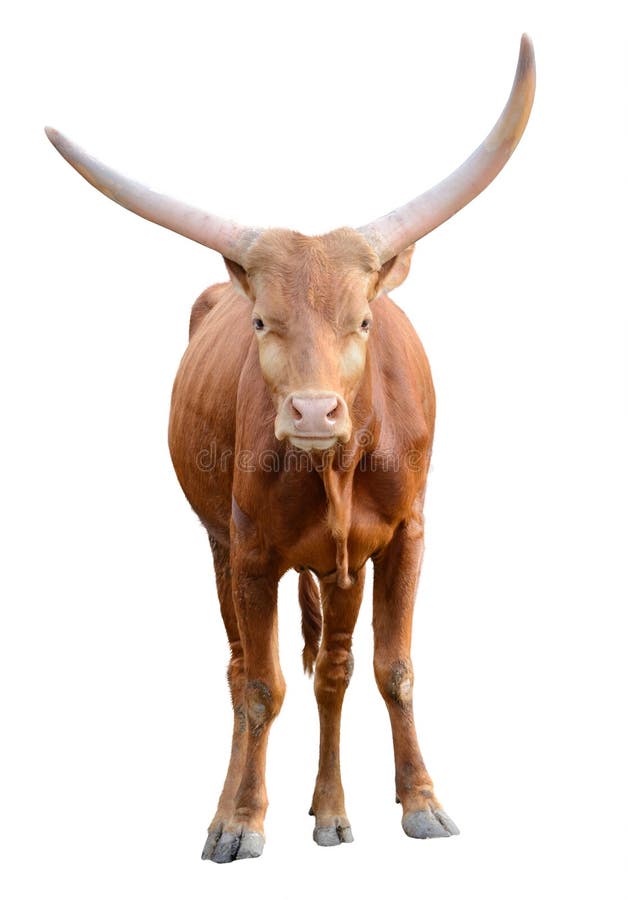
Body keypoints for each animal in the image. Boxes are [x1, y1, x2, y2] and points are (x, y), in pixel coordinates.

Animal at [46, 35, 535, 864]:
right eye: (262, 323)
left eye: (363, 320)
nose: (312, 410)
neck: (332, 471)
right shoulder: (248, 552)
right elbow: (259, 686)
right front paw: (241, 820)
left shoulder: (405, 534)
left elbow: (392, 668)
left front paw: (422, 803)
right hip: (220, 543)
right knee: (241, 665)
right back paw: (248, 806)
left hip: (343, 565)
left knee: (333, 671)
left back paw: (330, 810)